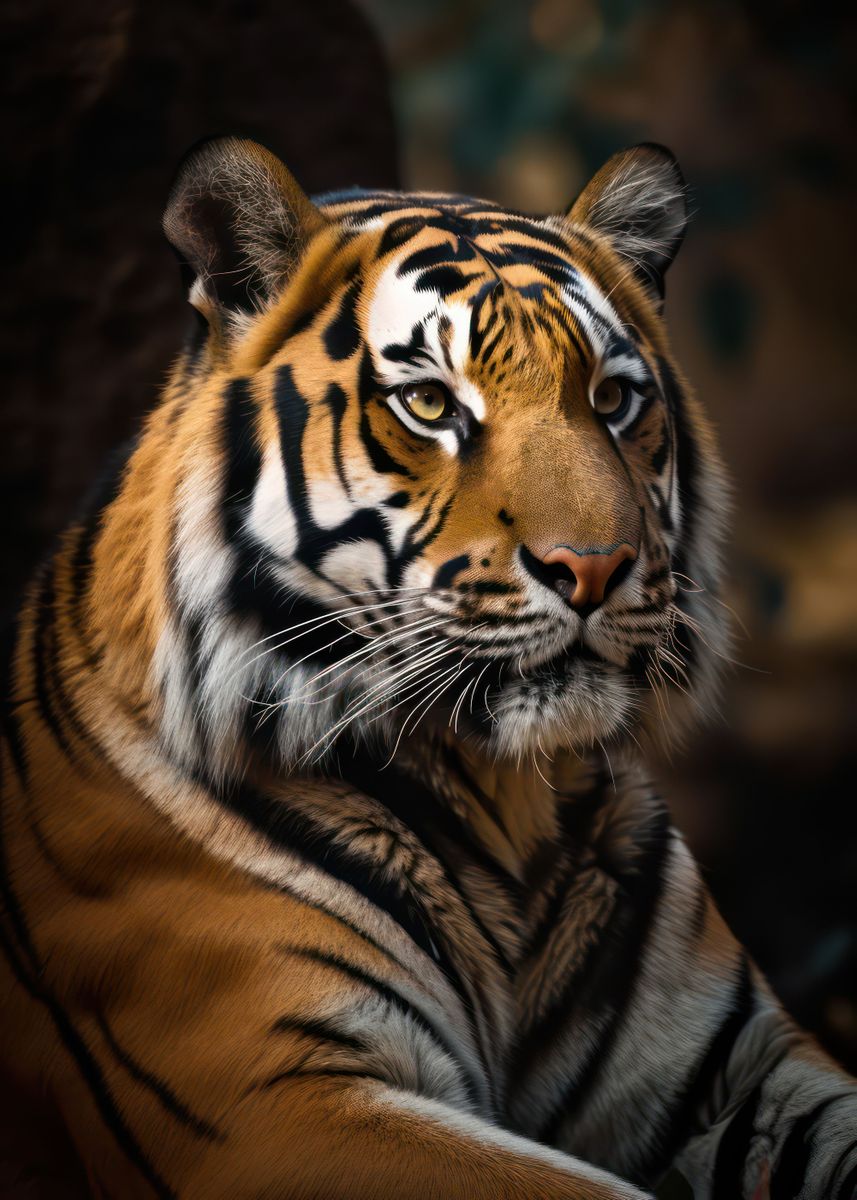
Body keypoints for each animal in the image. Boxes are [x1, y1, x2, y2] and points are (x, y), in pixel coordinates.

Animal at [1, 134, 855, 1200]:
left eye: (612, 399)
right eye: (431, 404)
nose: (595, 567)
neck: (507, 802)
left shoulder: (738, 1070)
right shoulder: (276, 1100)